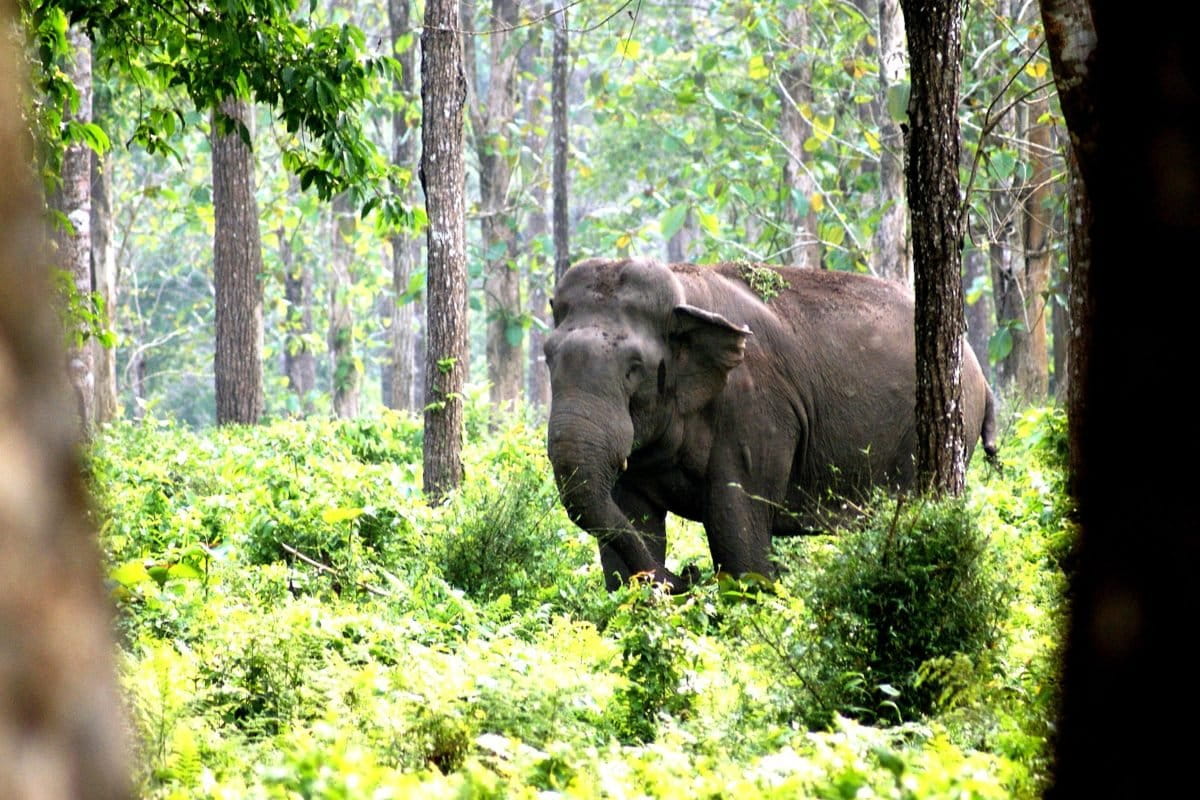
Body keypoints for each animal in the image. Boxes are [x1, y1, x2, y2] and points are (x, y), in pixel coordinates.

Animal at [543, 257, 998, 592]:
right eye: (547, 357)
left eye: (634, 368)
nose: (685, 576)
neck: (683, 294)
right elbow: (629, 517)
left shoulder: (756, 409)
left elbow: (736, 524)